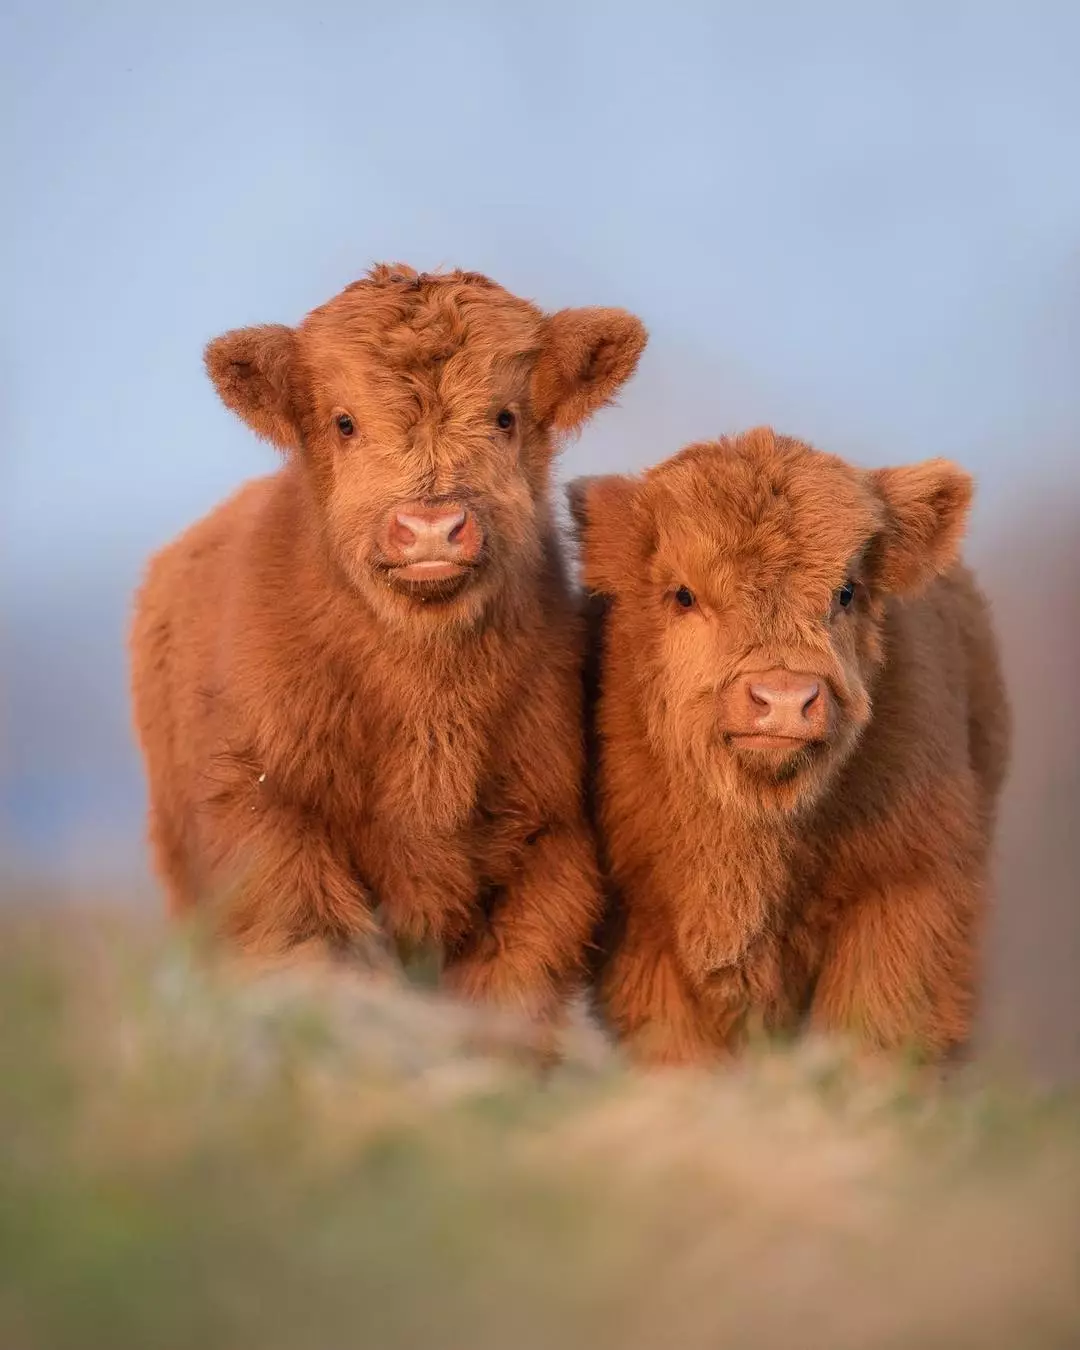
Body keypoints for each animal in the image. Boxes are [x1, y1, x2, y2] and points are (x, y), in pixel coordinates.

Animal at [572, 429, 1015, 1063]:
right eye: (683, 595)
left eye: (847, 592)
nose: (783, 698)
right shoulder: (647, 935)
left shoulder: (908, 895)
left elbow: (878, 1033)